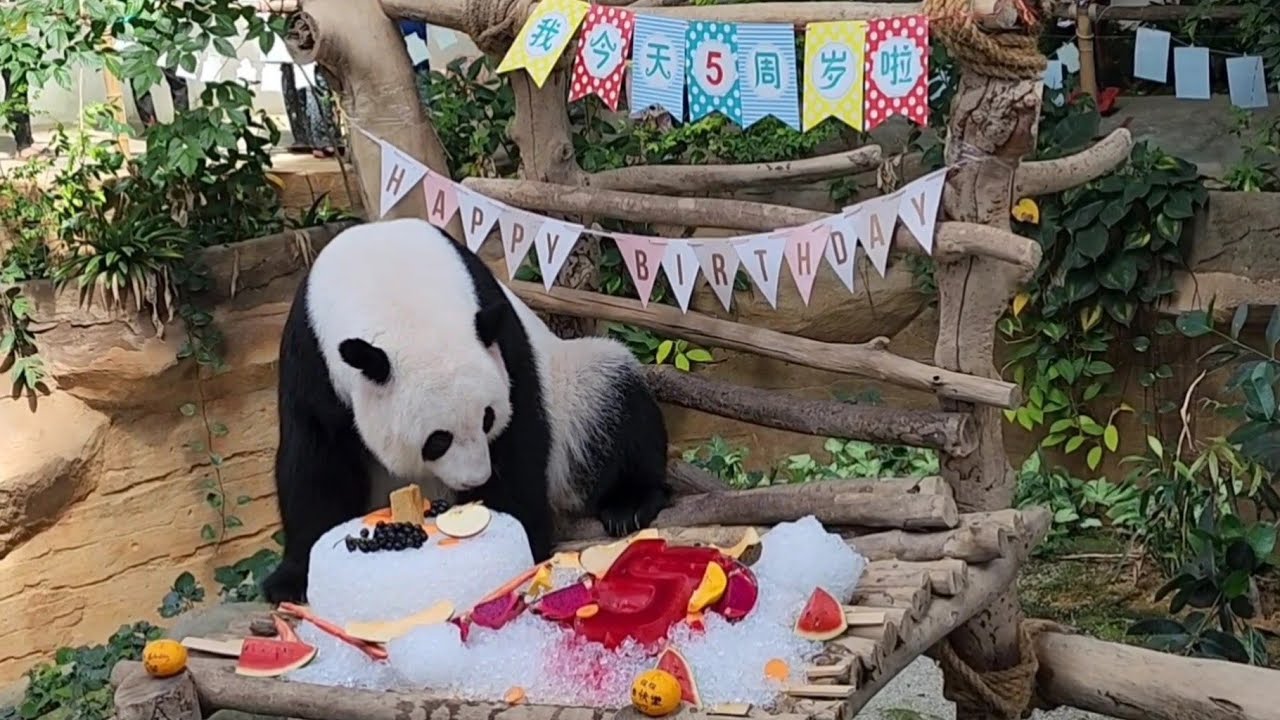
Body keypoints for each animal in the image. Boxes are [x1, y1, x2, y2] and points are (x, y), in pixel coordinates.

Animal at [261, 217, 672, 603]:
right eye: (437, 440)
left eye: (487, 418)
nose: (476, 480)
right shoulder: (311, 355)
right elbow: (314, 461)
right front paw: (292, 580)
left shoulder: (501, 334)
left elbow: (521, 432)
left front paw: (519, 533)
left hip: (575, 396)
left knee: (616, 399)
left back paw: (629, 503)